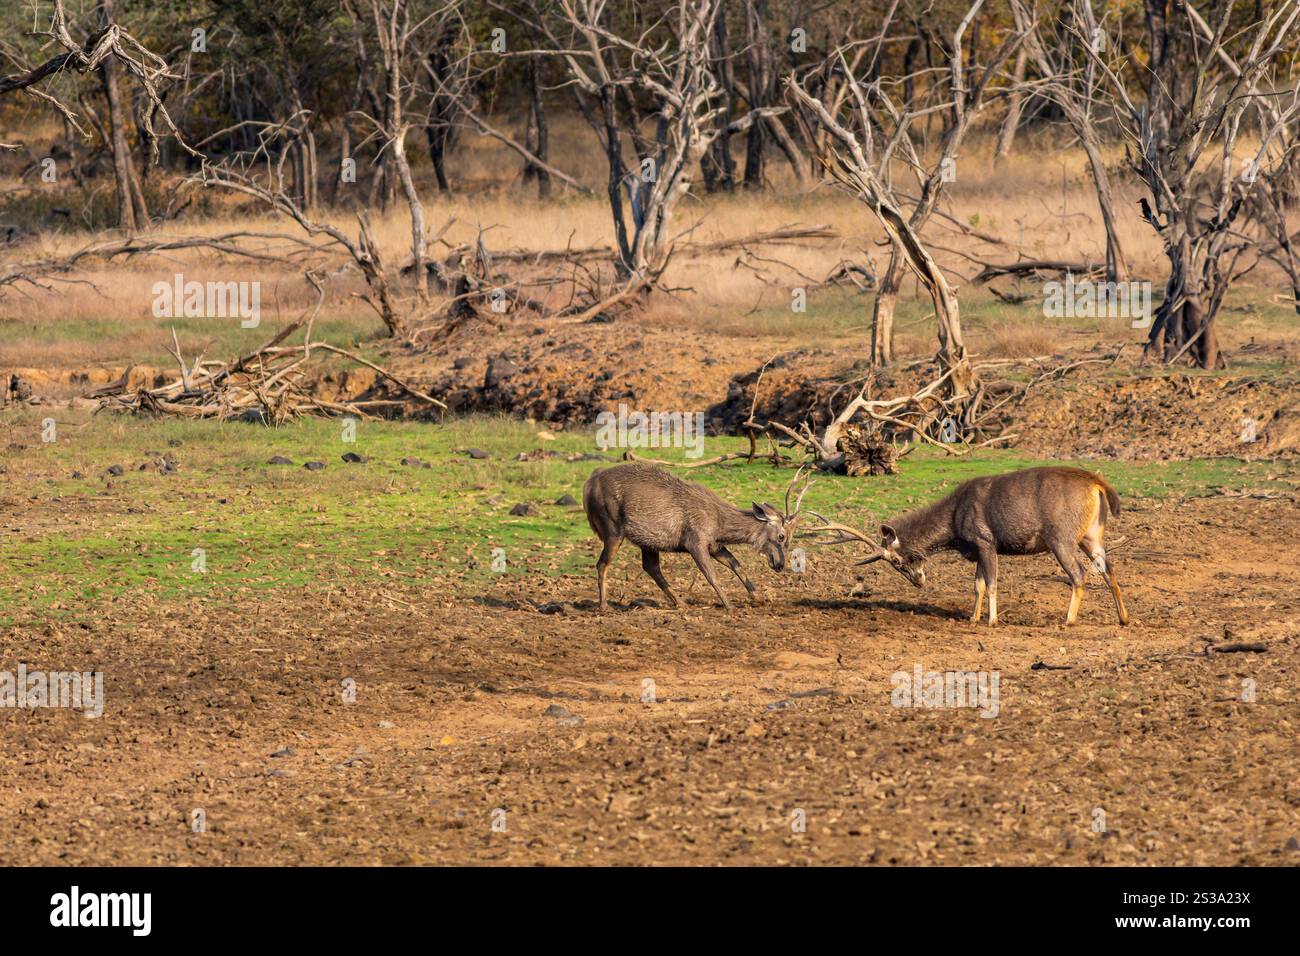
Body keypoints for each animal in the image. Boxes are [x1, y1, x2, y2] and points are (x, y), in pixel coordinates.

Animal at [582, 462, 812, 612]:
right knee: (602, 563)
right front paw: (730, 605)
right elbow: (712, 575)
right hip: (612, 527)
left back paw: (680, 603)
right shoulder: (695, 541)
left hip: (647, 540)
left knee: (651, 567)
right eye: (782, 536)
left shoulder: (714, 544)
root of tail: (588, 485)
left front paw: (758, 598)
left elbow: (736, 564)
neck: (719, 524)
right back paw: (603, 606)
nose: (780, 565)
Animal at [811, 466, 1128, 627]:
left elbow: (992, 583)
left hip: (1060, 536)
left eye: (897, 561)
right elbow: (977, 585)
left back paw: (1068, 621)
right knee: (1109, 567)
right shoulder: (976, 549)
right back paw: (1123, 619)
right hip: (1091, 534)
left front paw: (992, 621)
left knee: (1079, 574)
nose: (919, 582)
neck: (953, 526)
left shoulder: (985, 540)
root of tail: (1099, 486)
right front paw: (973, 618)